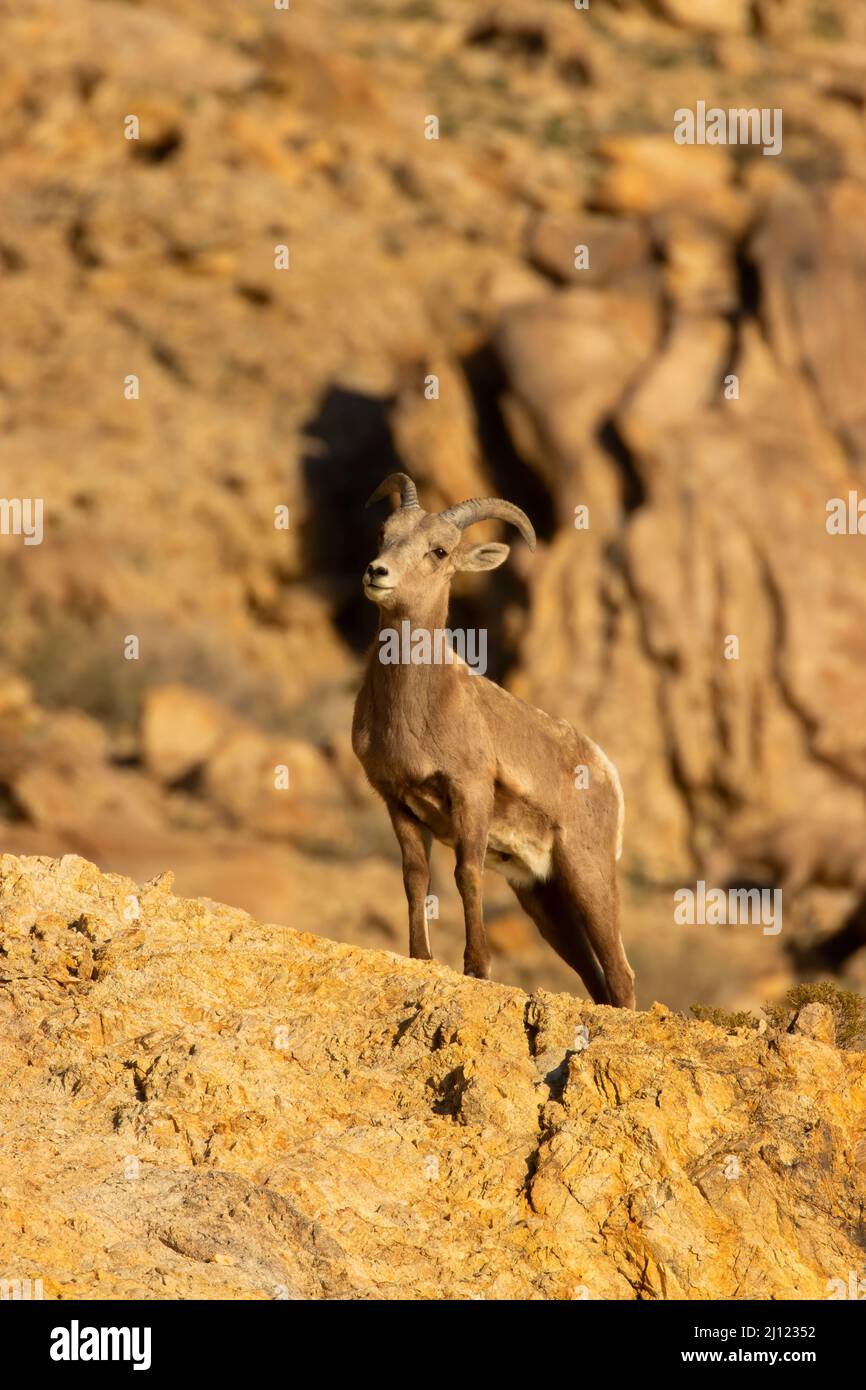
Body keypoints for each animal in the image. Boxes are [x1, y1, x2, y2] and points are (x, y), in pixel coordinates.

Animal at [351, 472, 635, 1008]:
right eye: (384, 533)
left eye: (439, 551)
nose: (377, 573)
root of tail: (605, 769)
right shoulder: (396, 800)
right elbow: (415, 876)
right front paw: (421, 957)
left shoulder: (471, 793)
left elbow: (467, 874)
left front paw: (477, 967)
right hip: (543, 897)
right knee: (596, 980)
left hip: (587, 874)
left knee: (620, 975)